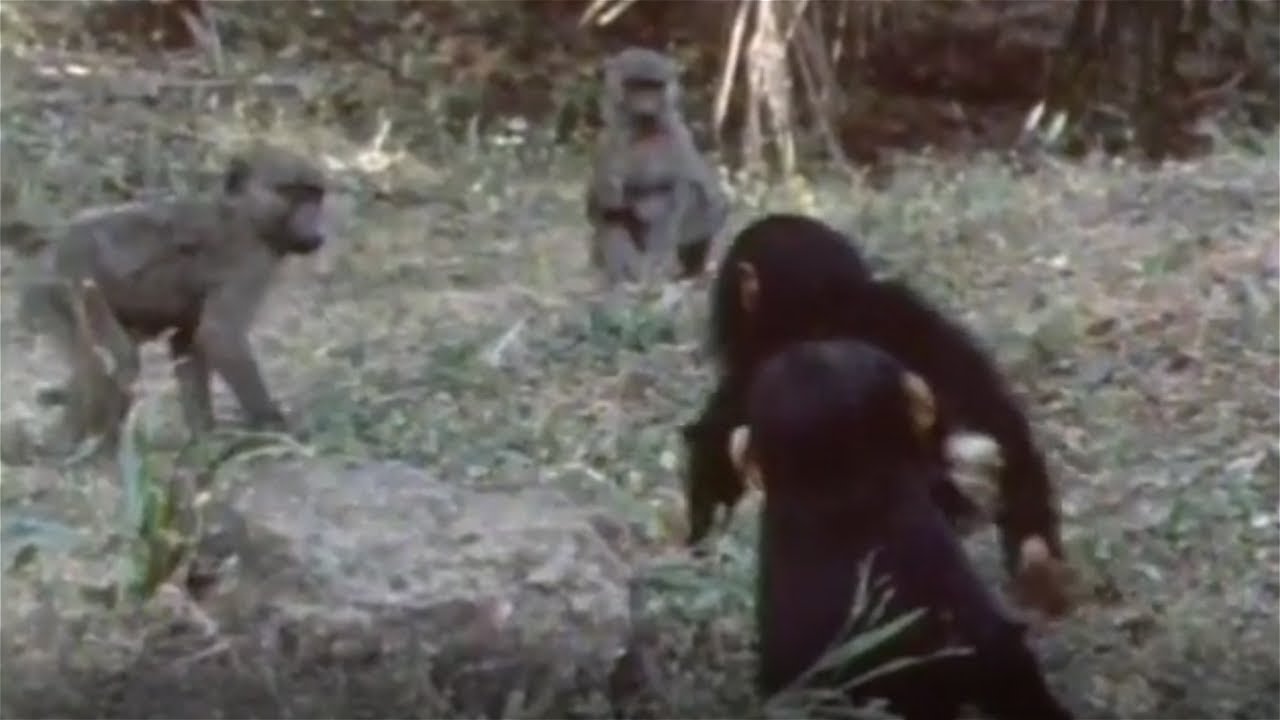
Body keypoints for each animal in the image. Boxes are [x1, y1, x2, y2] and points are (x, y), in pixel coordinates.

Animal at [14, 143, 327, 453]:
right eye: (292, 193)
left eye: (314, 195)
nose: (314, 227)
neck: (243, 214)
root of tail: (47, 256)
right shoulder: (252, 259)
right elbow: (220, 336)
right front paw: (276, 428)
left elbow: (188, 344)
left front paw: (205, 442)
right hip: (65, 287)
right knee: (117, 359)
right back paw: (80, 449)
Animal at [585, 46, 729, 285]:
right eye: (636, 85)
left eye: (654, 86)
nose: (646, 106)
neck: (645, 134)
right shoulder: (607, 143)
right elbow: (605, 208)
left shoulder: (680, 137)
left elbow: (707, 198)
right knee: (613, 221)